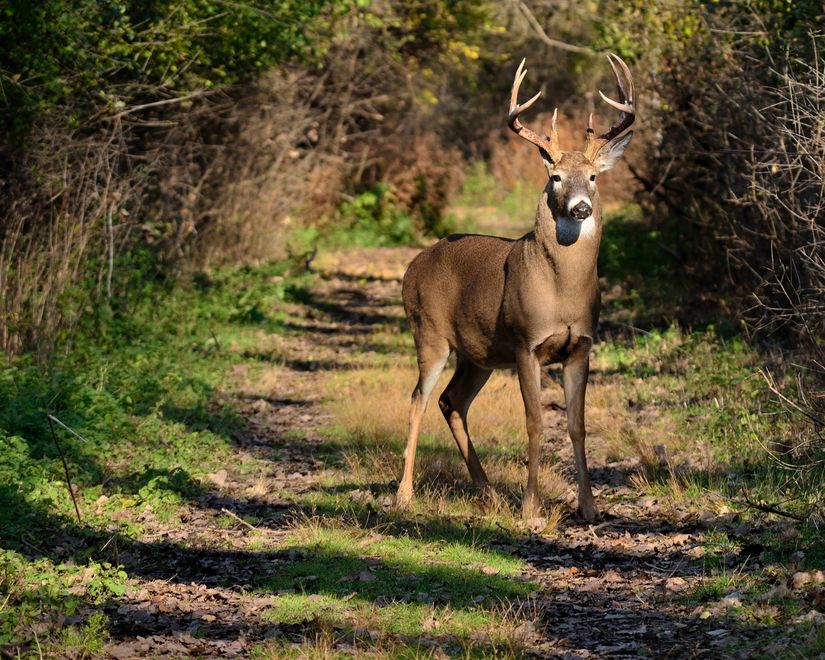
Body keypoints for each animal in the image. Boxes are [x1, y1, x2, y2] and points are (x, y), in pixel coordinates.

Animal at [395, 54, 635, 522]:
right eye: (555, 176)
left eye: (594, 177)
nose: (581, 207)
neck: (562, 292)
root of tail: (411, 267)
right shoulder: (527, 342)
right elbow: (536, 422)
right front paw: (530, 507)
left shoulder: (581, 345)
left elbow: (577, 425)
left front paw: (589, 507)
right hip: (428, 332)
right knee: (417, 399)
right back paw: (404, 494)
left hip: (477, 353)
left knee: (451, 401)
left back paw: (486, 491)